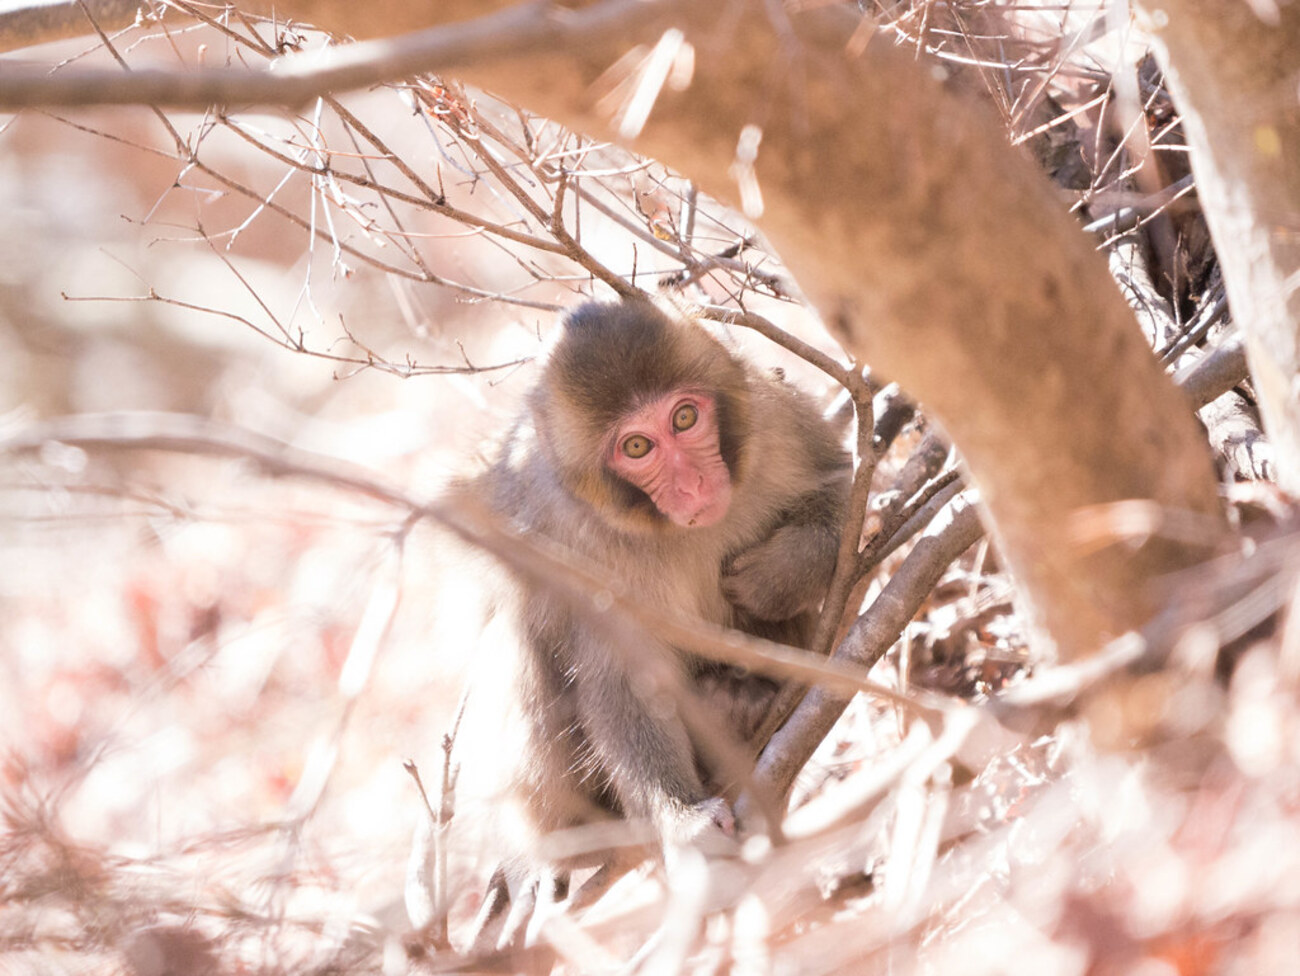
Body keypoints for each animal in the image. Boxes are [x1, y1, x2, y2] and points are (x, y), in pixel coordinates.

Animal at [407, 299, 850, 947]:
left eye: (685, 417)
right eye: (637, 447)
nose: (694, 483)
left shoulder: (776, 418)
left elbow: (845, 483)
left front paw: (782, 573)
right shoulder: (560, 541)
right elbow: (621, 673)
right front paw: (683, 824)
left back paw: (742, 704)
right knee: (518, 638)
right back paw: (574, 848)